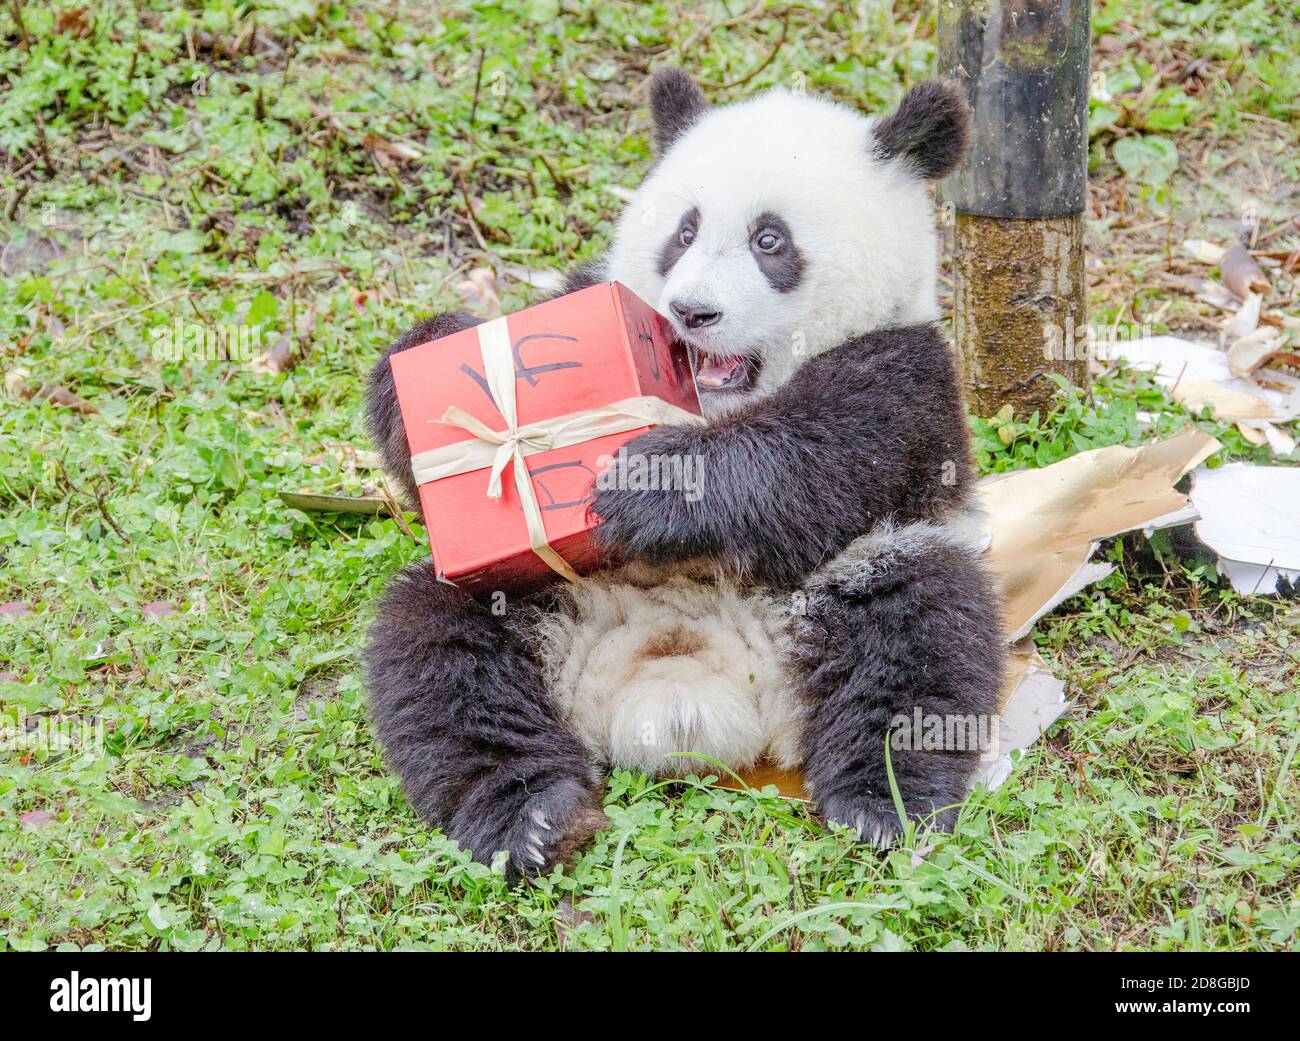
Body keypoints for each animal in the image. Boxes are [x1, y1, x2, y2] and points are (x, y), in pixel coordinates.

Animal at [363, 69, 1004, 880]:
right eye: (685, 232)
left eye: (770, 240)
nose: (691, 312)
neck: (706, 403)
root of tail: (680, 702)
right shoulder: (592, 285)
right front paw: (436, 363)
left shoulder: (910, 374)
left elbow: (822, 455)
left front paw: (653, 484)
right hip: (540, 599)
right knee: (441, 655)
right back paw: (531, 816)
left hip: (846, 587)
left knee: (918, 634)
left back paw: (881, 803)